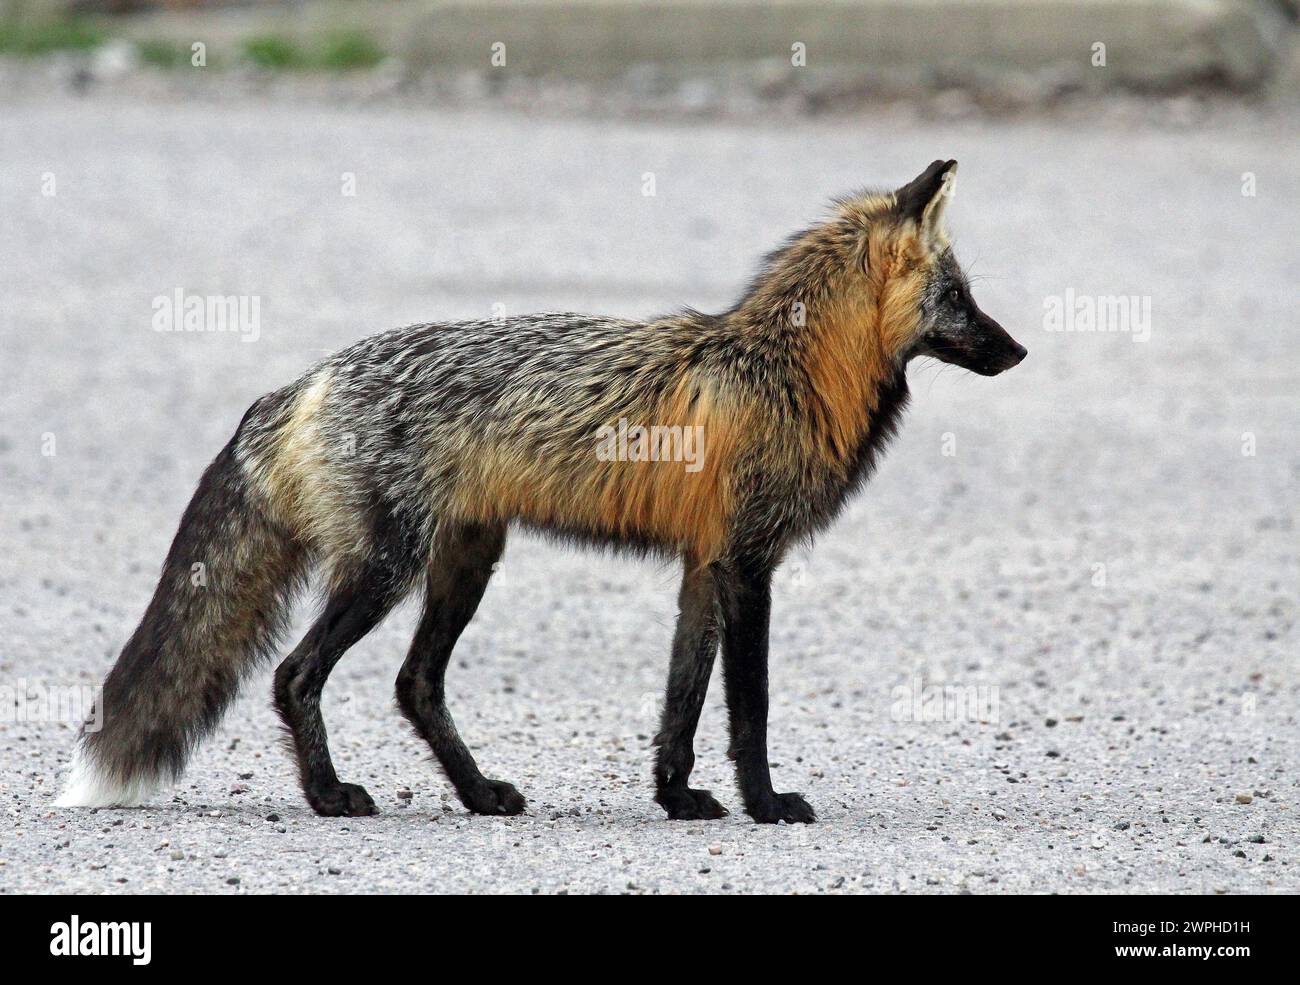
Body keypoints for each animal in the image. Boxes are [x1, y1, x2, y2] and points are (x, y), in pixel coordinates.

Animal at [56, 159, 1025, 824]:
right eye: (961, 296)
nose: (1018, 352)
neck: (785, 370)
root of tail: (306, 378)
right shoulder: (749, 563)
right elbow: (747, 707)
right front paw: (765, 805)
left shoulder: (703, 565)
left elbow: (680, 702)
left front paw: (677, 799)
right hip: (387, 568)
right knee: (298, 675)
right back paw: (331, 793)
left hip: (465, 563)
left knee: (414, 684)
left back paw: (479, 791)